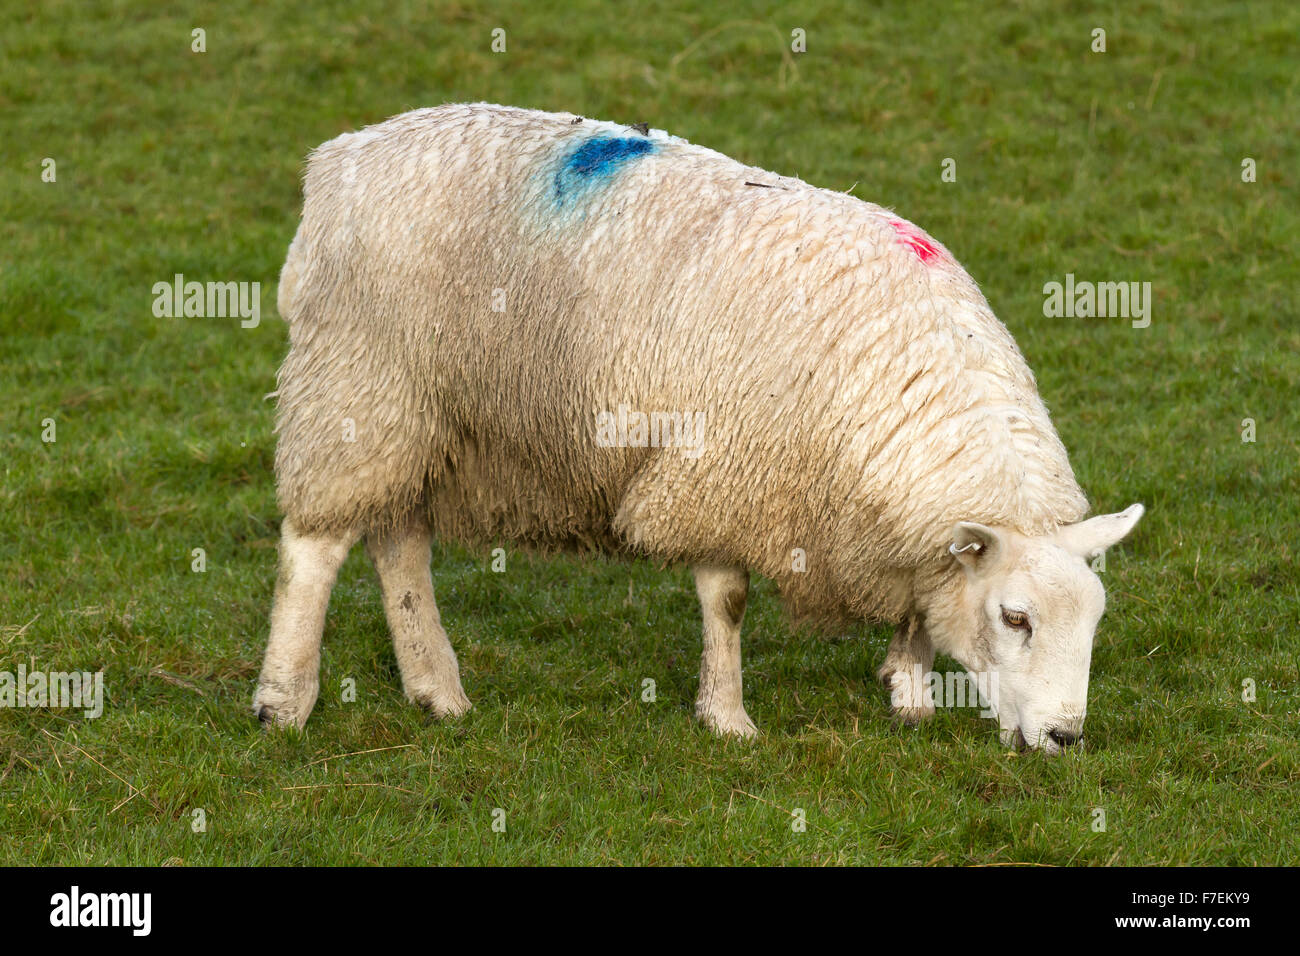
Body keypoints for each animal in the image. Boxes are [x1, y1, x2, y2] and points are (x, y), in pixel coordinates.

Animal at [254, 102, 1144, 751]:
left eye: (1095, 620)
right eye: (1016, 618)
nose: (1065, 738)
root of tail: (341, 158)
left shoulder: (881, 524)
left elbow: (919, 601)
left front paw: (911, 689)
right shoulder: (724, 464)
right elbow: (728, 599)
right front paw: (728, 717)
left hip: (418, 416)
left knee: (398, 540)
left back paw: (436, 690)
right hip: (359, 384)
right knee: (315, 547)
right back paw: (284, 699)